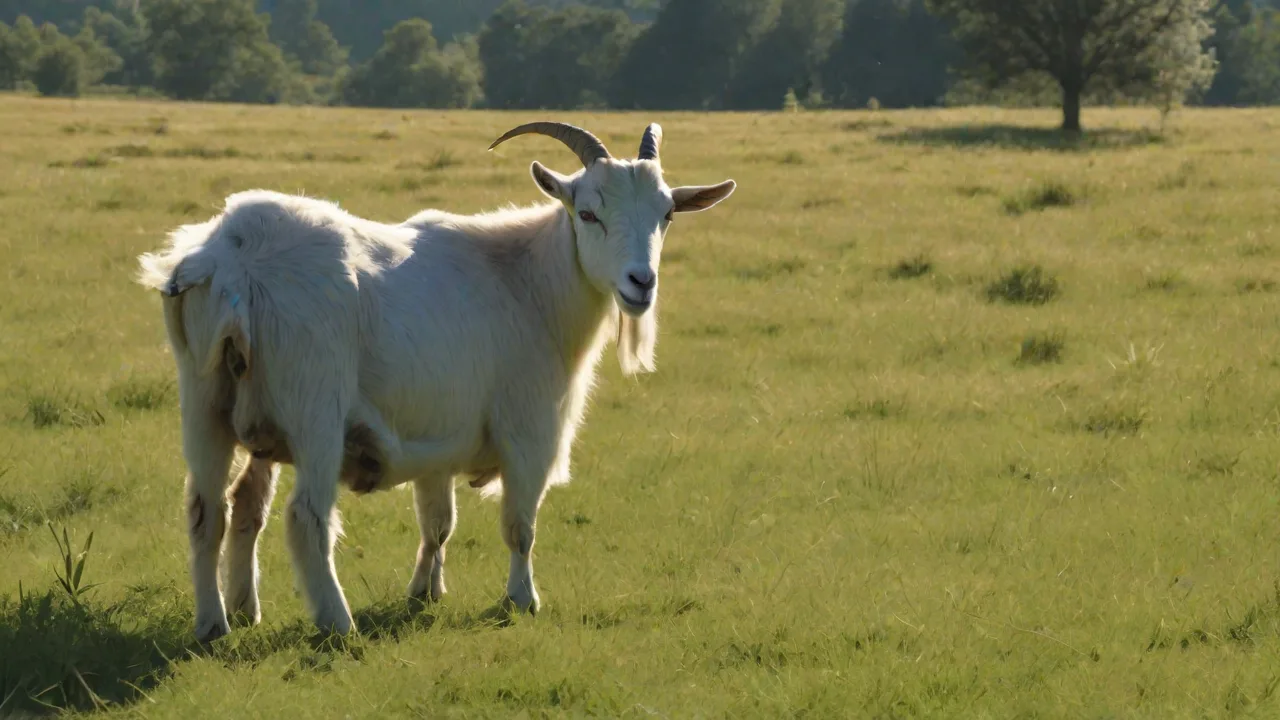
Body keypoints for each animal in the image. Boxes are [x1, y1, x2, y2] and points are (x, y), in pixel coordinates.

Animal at [136, 121, 737, 640]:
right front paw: (523, 600)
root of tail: (230, 262)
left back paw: (220, 621)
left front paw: (426, 591)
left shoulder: (437, 439)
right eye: (588, 213)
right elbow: (520, 525)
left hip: (206, 403)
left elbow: (437, 522)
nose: (641, 282)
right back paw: (337, 623)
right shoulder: (529, 430)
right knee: (305, 516)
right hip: (315, 408)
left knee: (214, 509)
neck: (526, 280)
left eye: (667, 215)